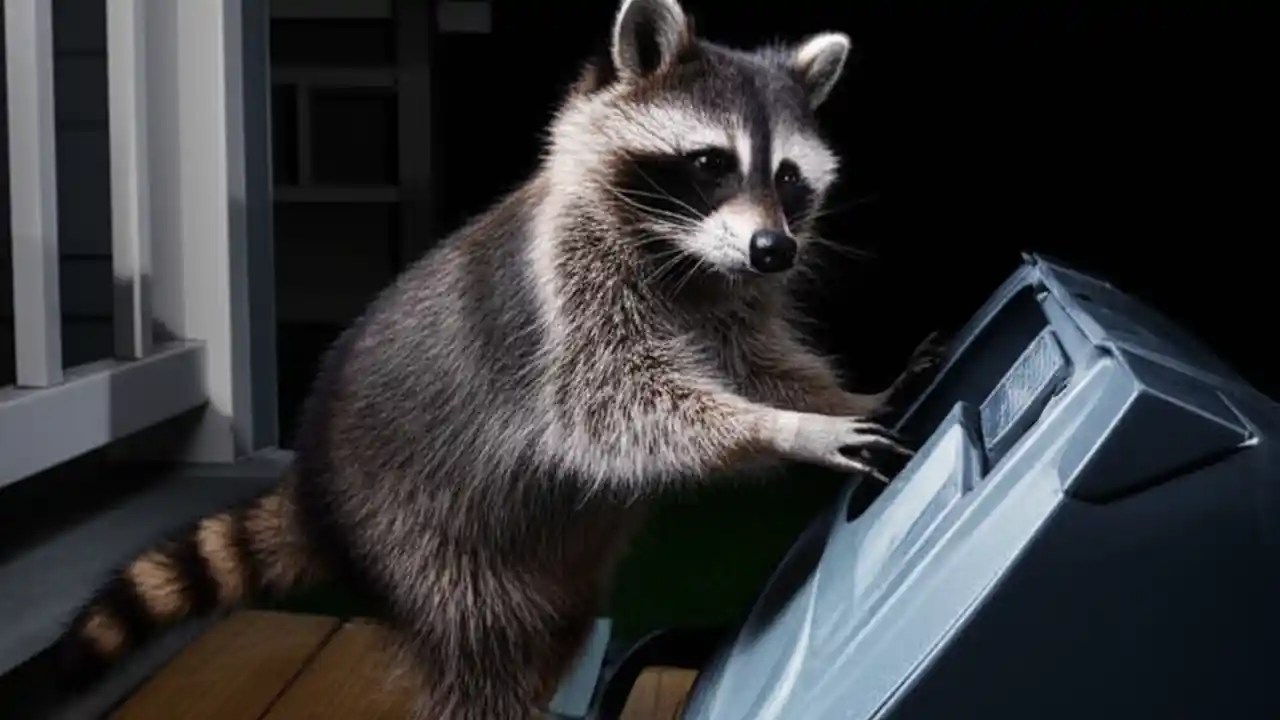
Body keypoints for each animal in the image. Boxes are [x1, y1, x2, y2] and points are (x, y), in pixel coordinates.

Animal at [49, 0, 938, 717]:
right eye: (710, 163)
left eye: (788, 177)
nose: (774, 251)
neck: (688, 260)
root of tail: (316, 491)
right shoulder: (570, 289)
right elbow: (610, 408)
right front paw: (787, 428)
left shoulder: (731, 301)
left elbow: (756, 364)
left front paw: (846, 398)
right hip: (427, 543)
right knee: (482, 656)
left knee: (551, 635)